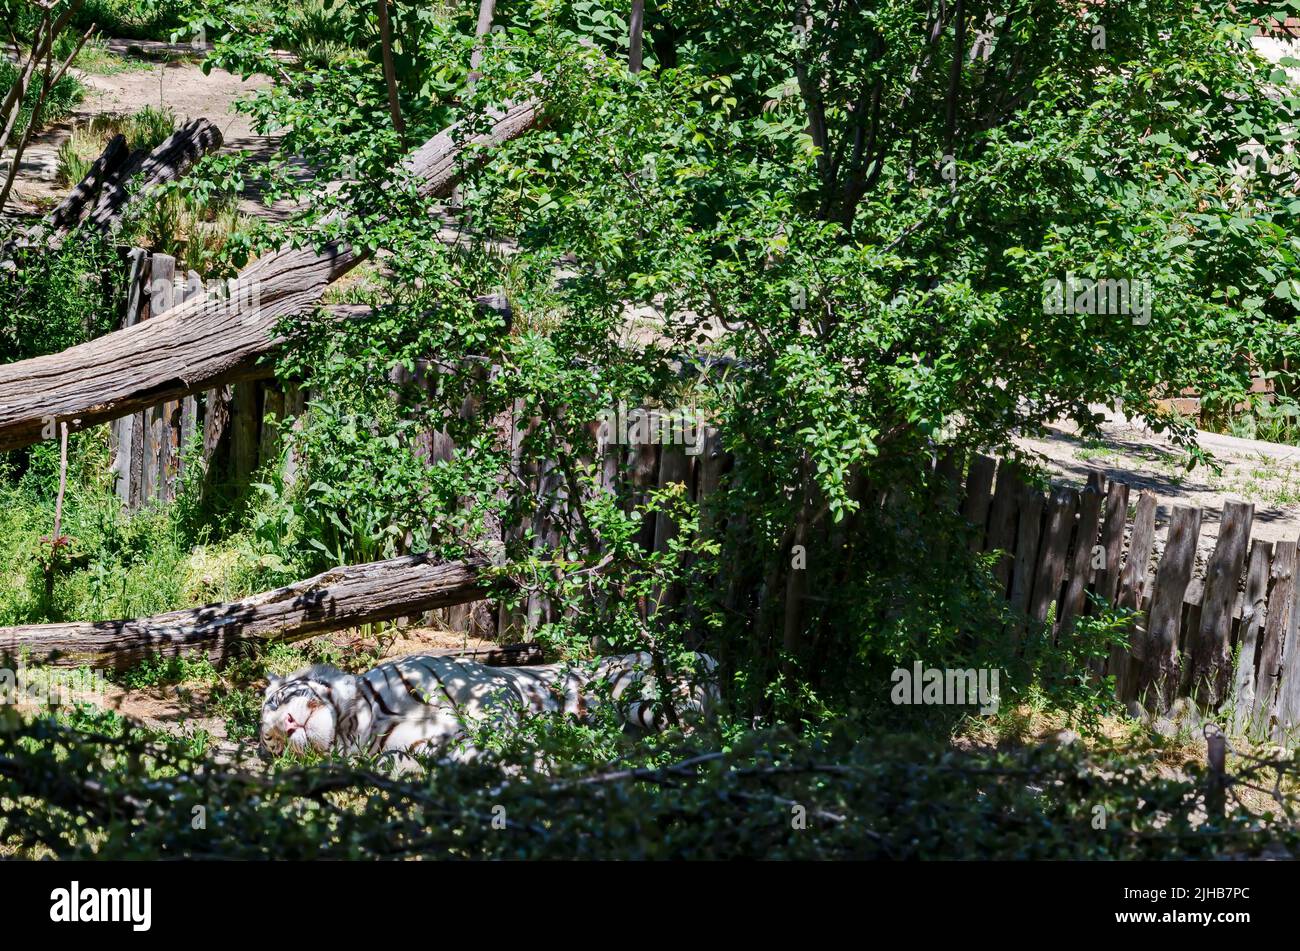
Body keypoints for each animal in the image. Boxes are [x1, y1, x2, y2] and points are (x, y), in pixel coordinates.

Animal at [259, 650, 718, 770]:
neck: (363, 720)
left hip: (637, 695)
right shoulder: (437, 746)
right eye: (272, 741)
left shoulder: (490, 690)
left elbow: (504, 724)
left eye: (277, 703)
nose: (286, 726)